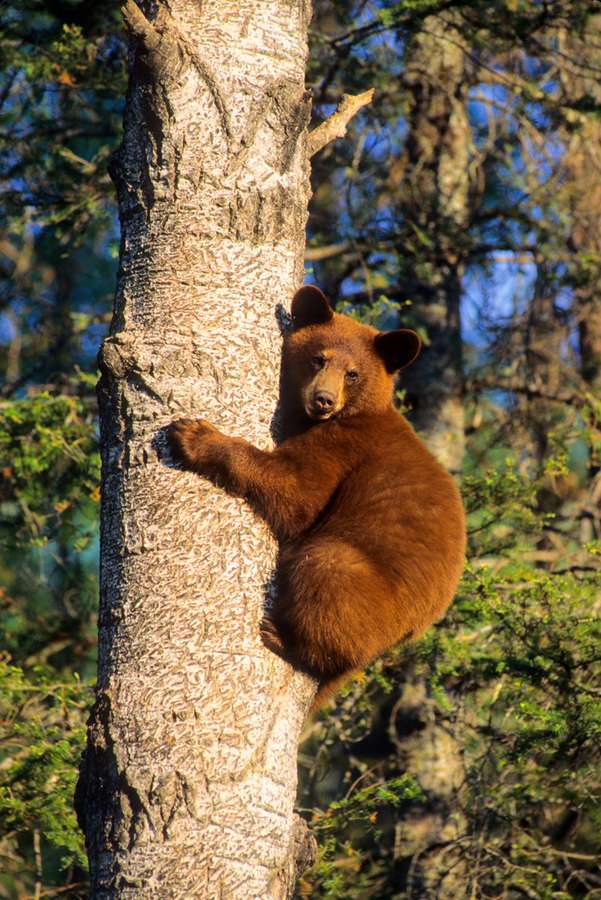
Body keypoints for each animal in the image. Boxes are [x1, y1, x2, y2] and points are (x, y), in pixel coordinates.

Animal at [168, 285, 466, 709]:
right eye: (318, 358)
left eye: (353, 373)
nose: (323, 399)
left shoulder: (341, 447)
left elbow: (297, 494)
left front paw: (195, 435)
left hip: (359, 583)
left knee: (323, 571)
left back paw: (283, 638)